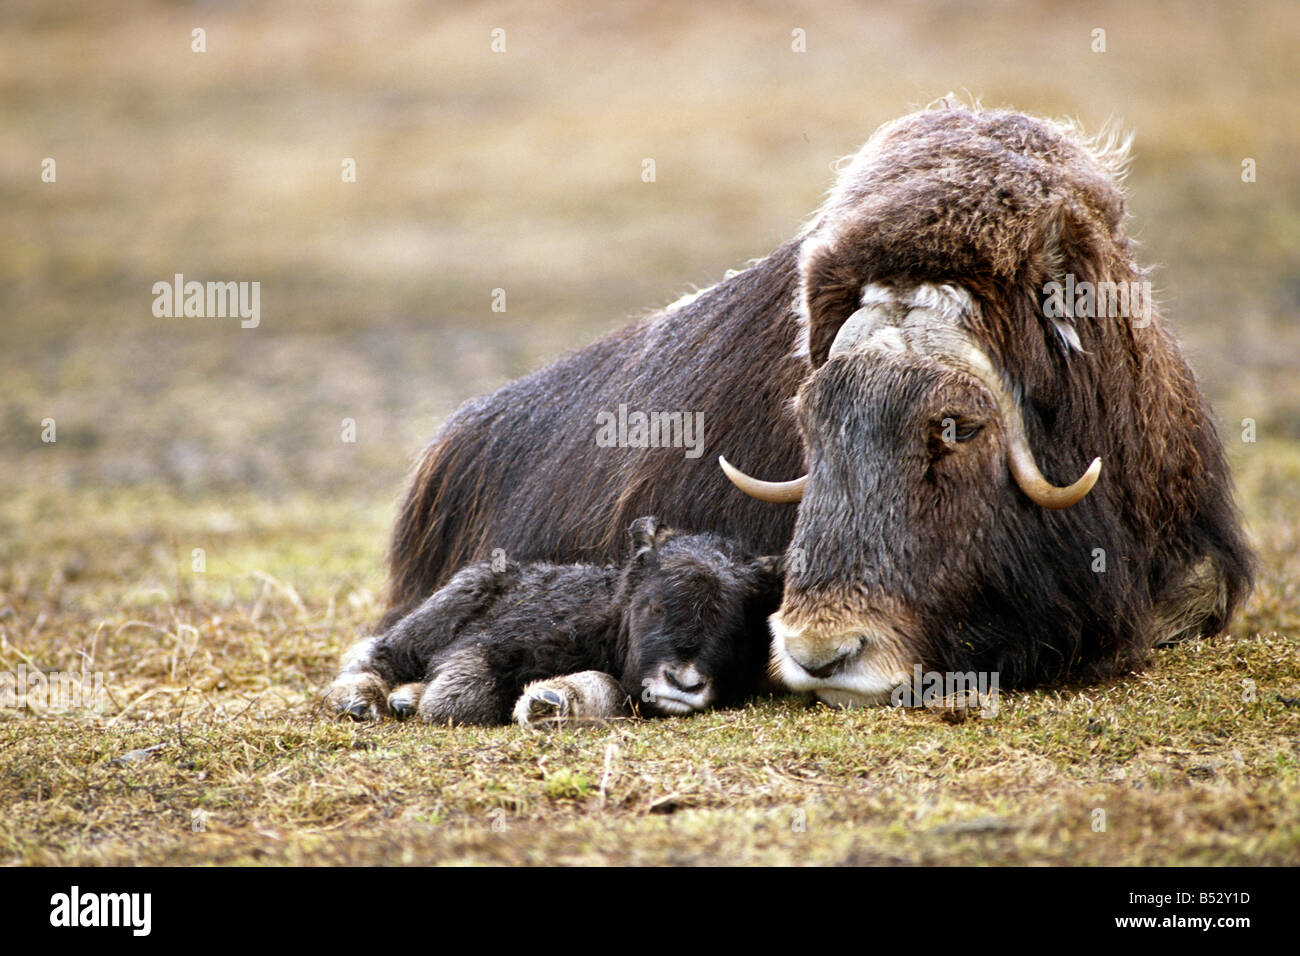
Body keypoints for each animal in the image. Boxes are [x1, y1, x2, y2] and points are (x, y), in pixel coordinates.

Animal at [326, 517, 782, 726]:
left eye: (737, 627)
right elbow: (459, 699)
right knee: (377, 653)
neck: (611, 623)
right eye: (655, 605)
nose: (684, 684)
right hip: (431, 621)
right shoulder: (486, 648)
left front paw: (552, 702)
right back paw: (359, 699)